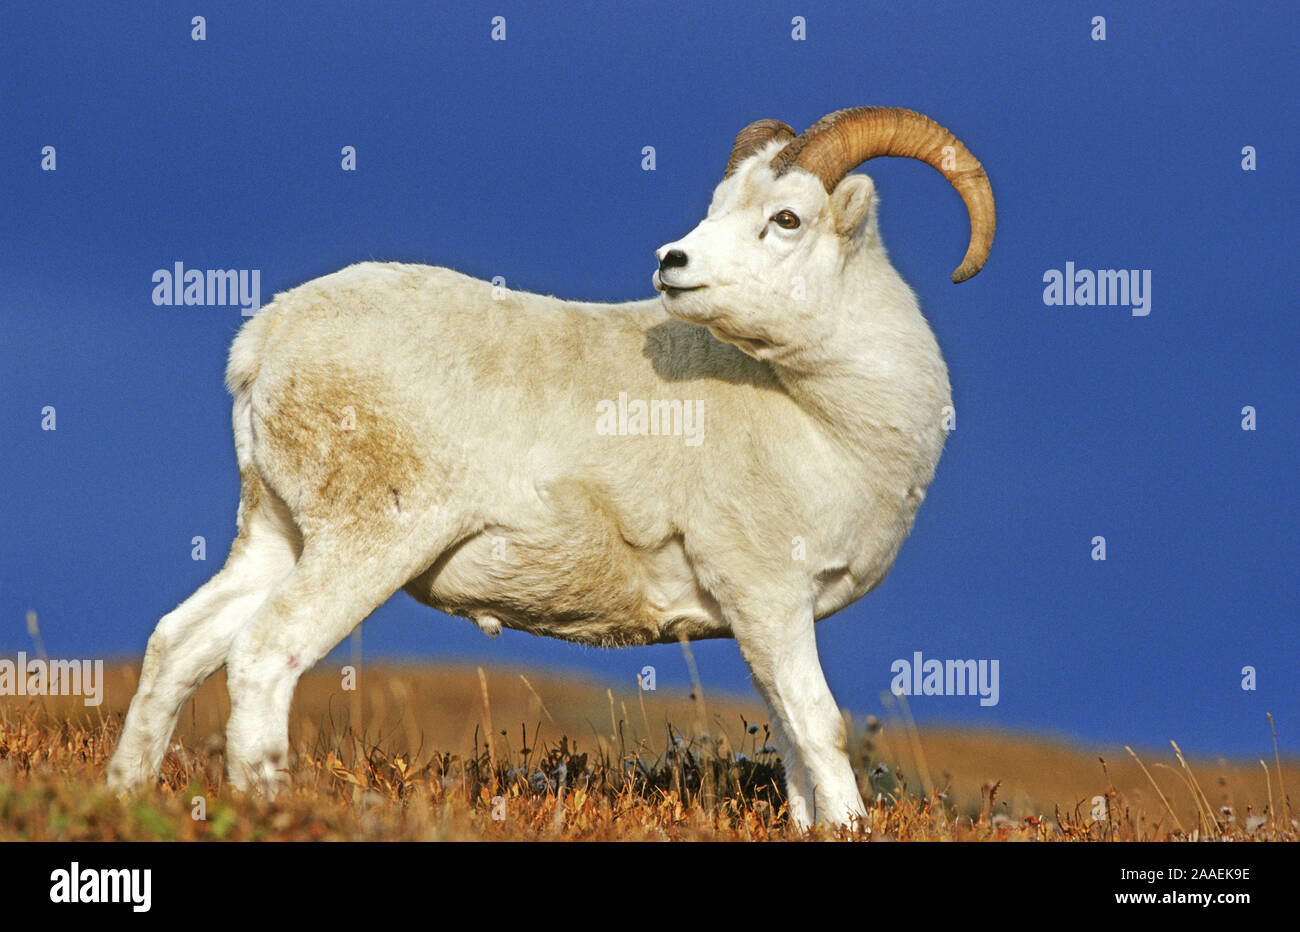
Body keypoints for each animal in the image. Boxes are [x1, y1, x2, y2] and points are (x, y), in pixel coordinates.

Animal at [107, 106, 995, 830]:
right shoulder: (768, 598)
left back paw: (124, 793)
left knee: (178, 646)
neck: (821, 417)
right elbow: (821, 729)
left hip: (275, 536)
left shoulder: (769, 620)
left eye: (785, 217)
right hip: (365, 544)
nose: (673, 261)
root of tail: (267, 338)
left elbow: (794, 754)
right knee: (264, 654)